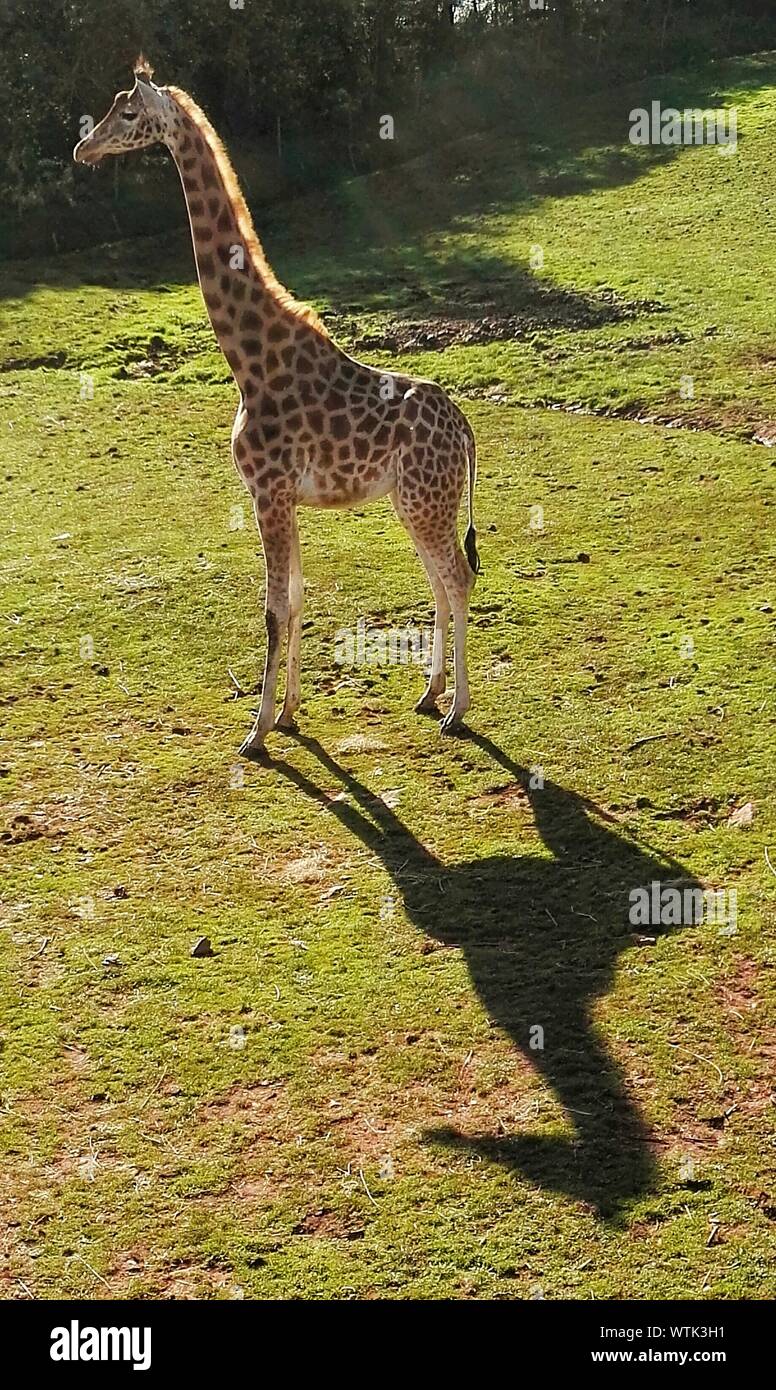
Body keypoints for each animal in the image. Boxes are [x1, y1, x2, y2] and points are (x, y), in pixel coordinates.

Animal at [74, 61, 480, 756]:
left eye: (127, 113)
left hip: (427, 500)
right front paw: (289, 713)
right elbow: (294, 598)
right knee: (440, 580)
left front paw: (256, 731)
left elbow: (271, 606)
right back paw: (429, 696)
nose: (84, 148)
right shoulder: (284, 494)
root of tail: (468, 432)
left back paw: (456, 710)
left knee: (456, 576)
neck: (248, 360)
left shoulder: (268, 487)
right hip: (414, 500)